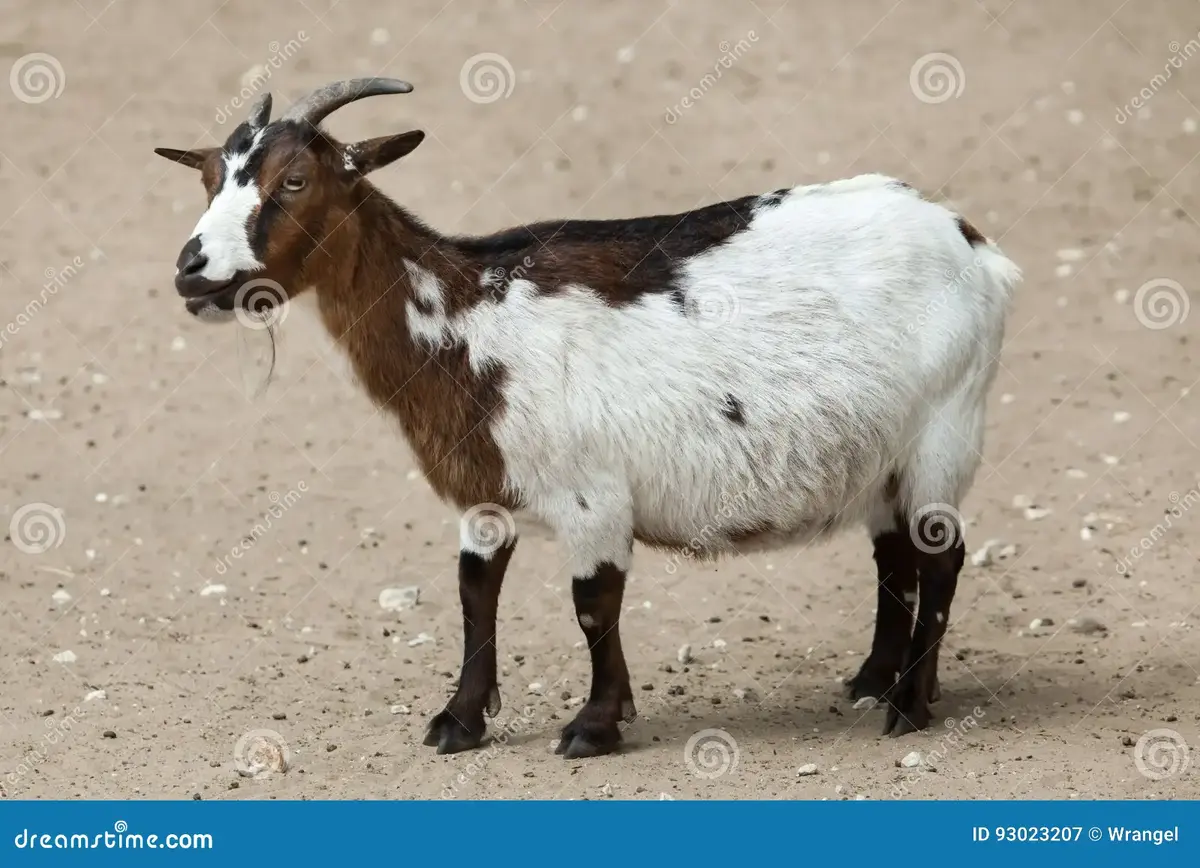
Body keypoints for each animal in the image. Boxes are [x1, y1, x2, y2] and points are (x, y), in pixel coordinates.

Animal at [155, 79, 1022, 758]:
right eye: (209, 179)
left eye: (297, 179)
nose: (192, 270)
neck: (472, 316)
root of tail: (972, 243)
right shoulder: (485, 492)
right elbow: (474, 594)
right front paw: (459, 721)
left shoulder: (592, 497)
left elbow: (591, 605)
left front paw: (594, 725)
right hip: (880, 453)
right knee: (893, 556)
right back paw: (873, 682)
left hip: (943, 430)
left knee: (940, 556)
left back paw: (910, 706)